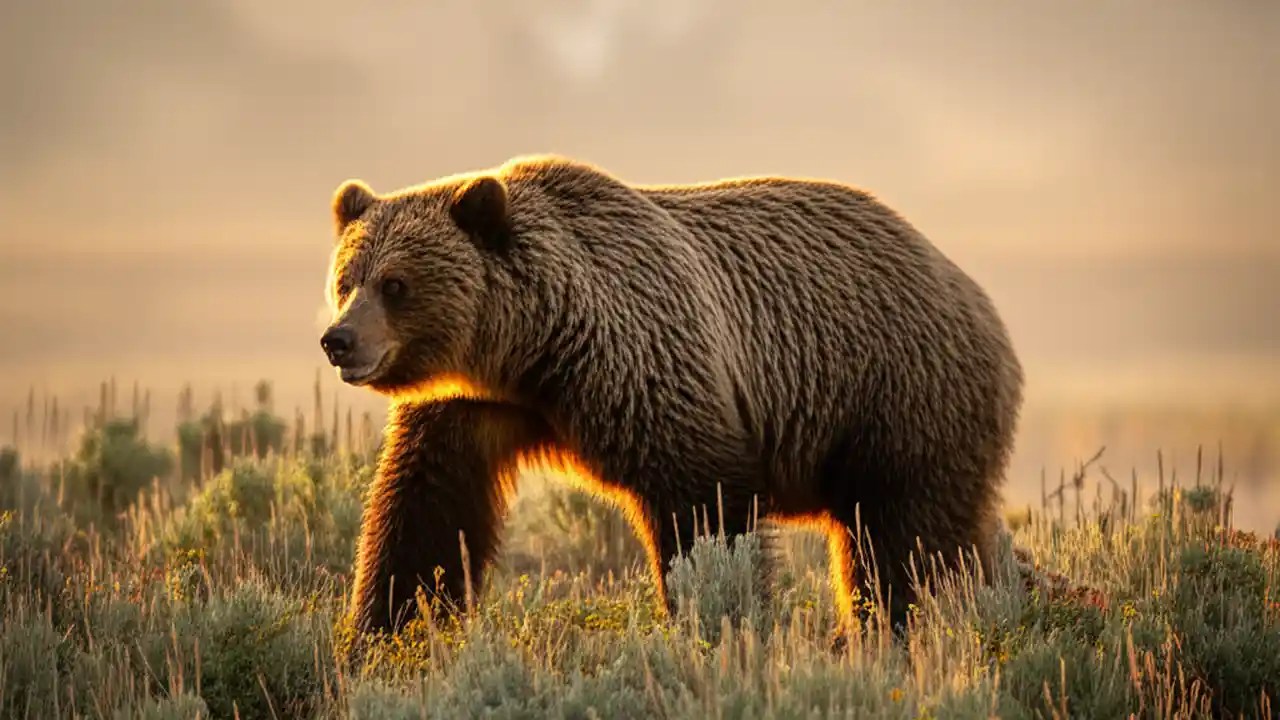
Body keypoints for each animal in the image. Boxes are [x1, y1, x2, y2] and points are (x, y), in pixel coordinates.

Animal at [319, 154, 1024, 637]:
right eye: (346, 280)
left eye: (396, 284)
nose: (339, 341)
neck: (530, 351)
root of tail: (973, 292)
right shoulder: (468, 407)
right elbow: (423, 515)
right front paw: (385, 632)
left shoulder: (645, 362)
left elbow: (703, 508)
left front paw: (721, 620)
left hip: (896, 393)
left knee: (904, 541)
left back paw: (893, 631)